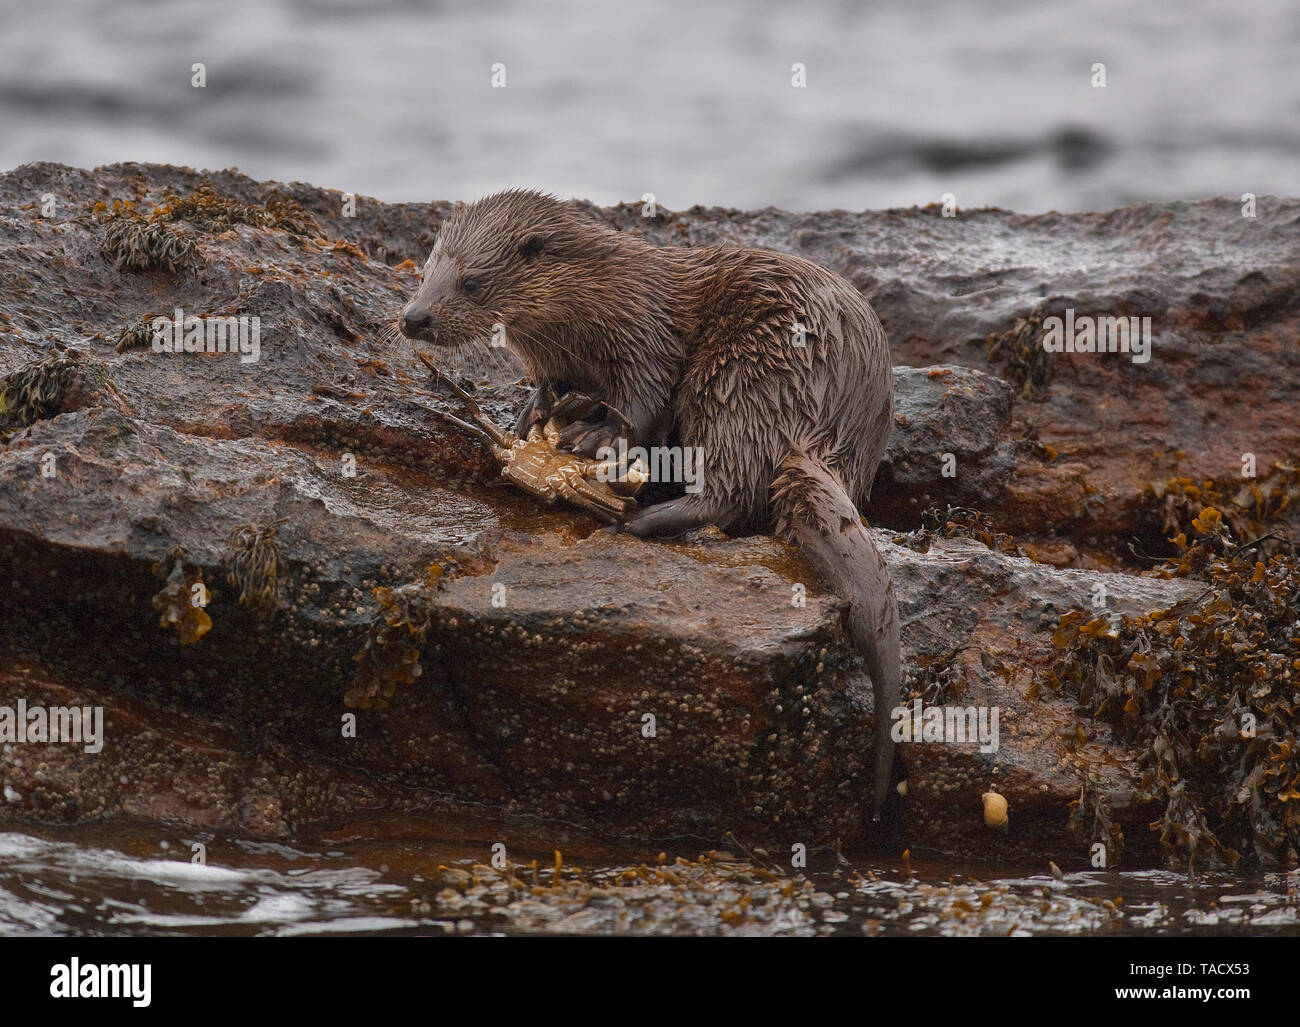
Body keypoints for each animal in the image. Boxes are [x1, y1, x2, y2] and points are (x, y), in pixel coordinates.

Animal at [400, 190, 901, 821]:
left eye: (470, 282)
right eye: (426, 272)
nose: (413, 318)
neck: (592, 307)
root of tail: (837, 434)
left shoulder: (644, 338)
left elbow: (643, 398)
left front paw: (595, 436)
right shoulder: (556, 359)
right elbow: (548, 389)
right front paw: (531, 413)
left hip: (751, 375)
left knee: (731, 487)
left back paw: (635, 520)